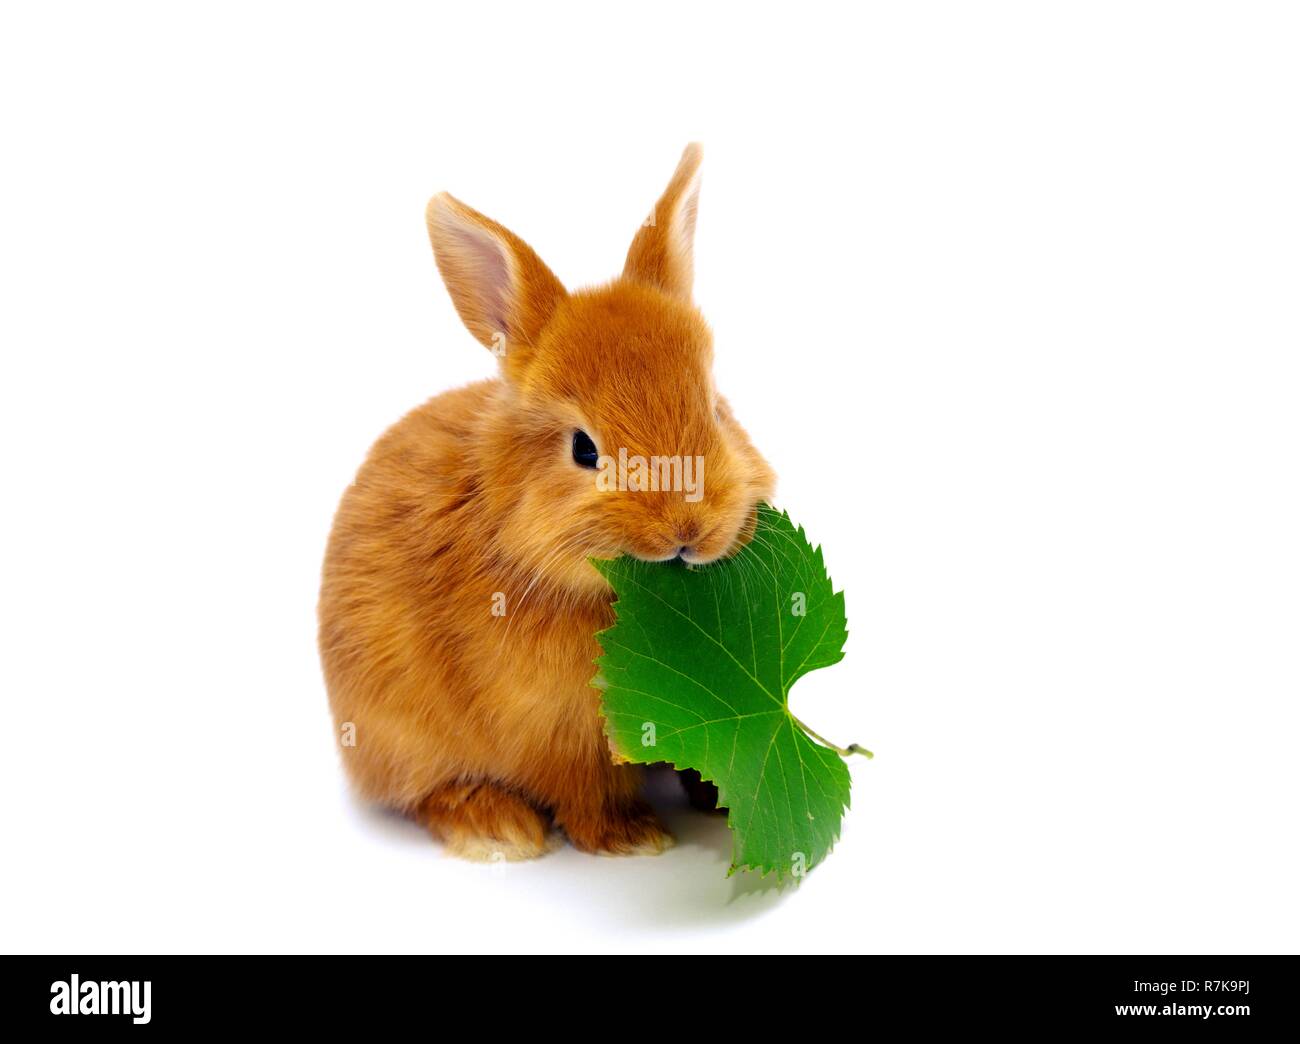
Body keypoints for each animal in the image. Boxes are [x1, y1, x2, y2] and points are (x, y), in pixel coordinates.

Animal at [318, 144, 775, 861]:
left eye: (713, 408)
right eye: (584, 449)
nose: (687, 528)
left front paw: (712, 798)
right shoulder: (553, 731)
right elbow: (583, 785)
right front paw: (630, 838)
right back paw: (494, 827)